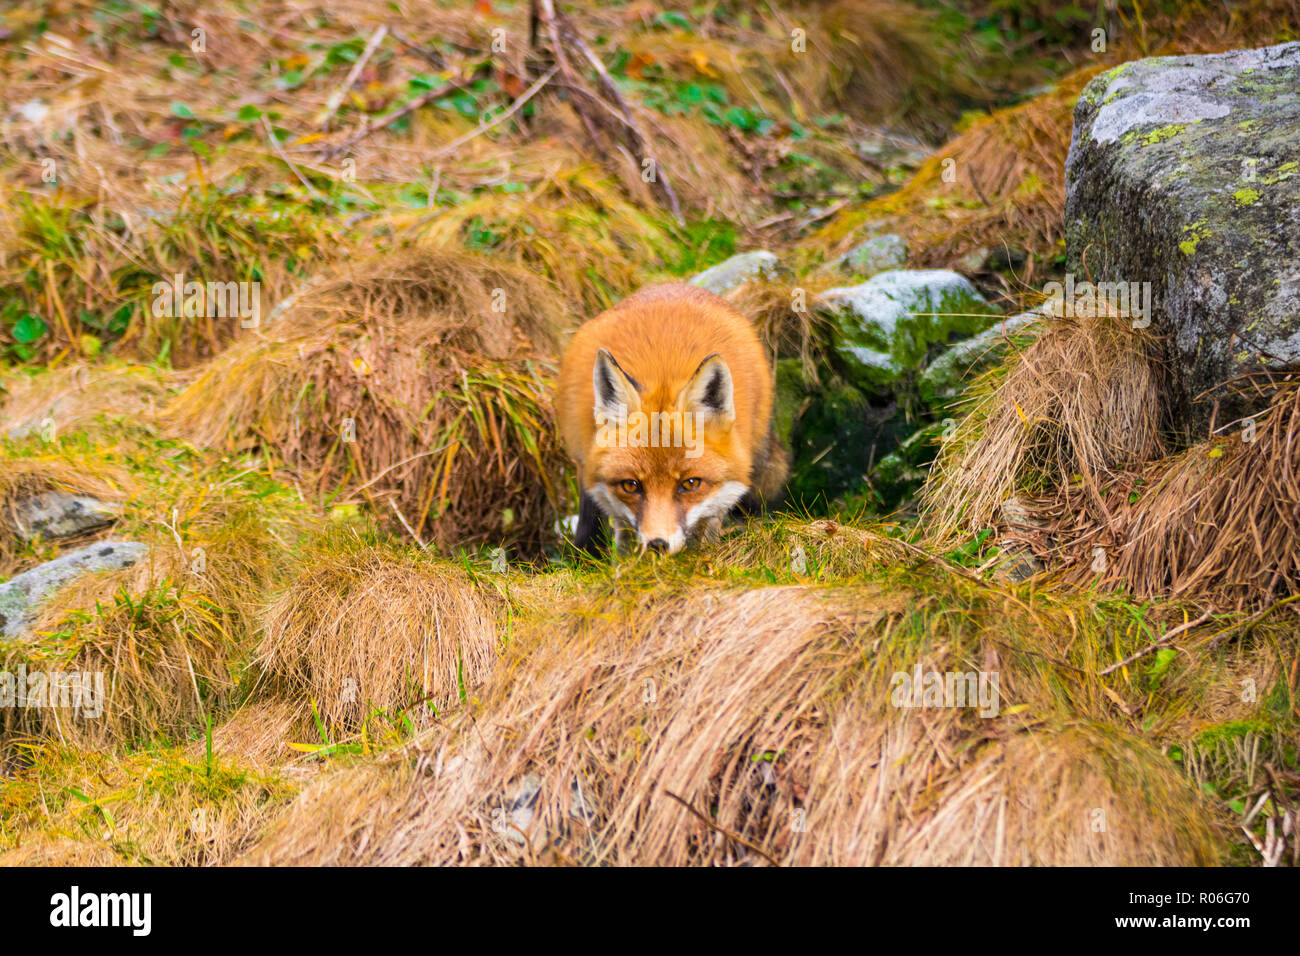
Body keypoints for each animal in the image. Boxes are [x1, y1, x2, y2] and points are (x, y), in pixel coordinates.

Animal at [557, 283, 789, 555]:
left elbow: (709, 526)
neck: (663, 373)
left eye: (691, 484)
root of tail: (670, 286)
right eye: (630, 485)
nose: (658, 544)